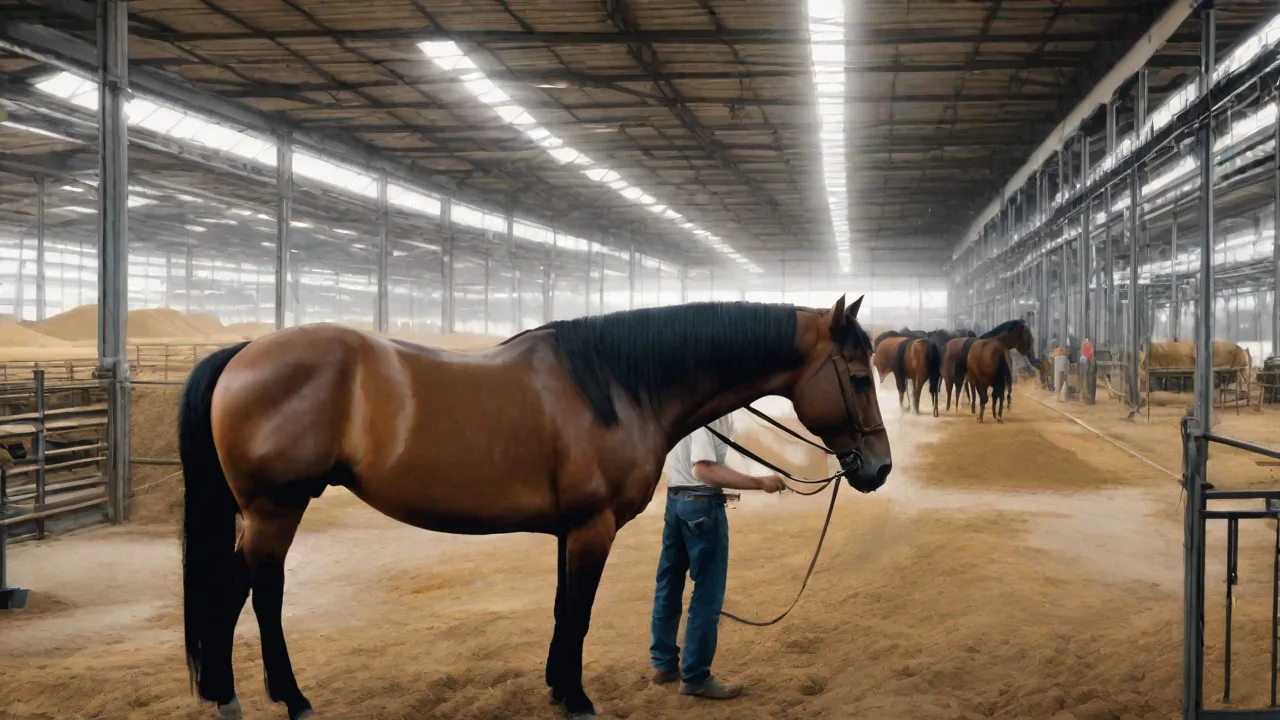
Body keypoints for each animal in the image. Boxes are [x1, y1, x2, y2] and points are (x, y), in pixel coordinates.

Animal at [179, 297, 892, 720]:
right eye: (858, 377)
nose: (879, 469)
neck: (617, 386)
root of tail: (243, 352)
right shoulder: (591, 528)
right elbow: (579, 613)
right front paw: (577, 698)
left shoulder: (566, 531)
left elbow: (560, 609)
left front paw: (556, 686)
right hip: (275, 509)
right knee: (260, 594)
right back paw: (289, 697)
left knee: (238, 591)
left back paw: (228, 694)